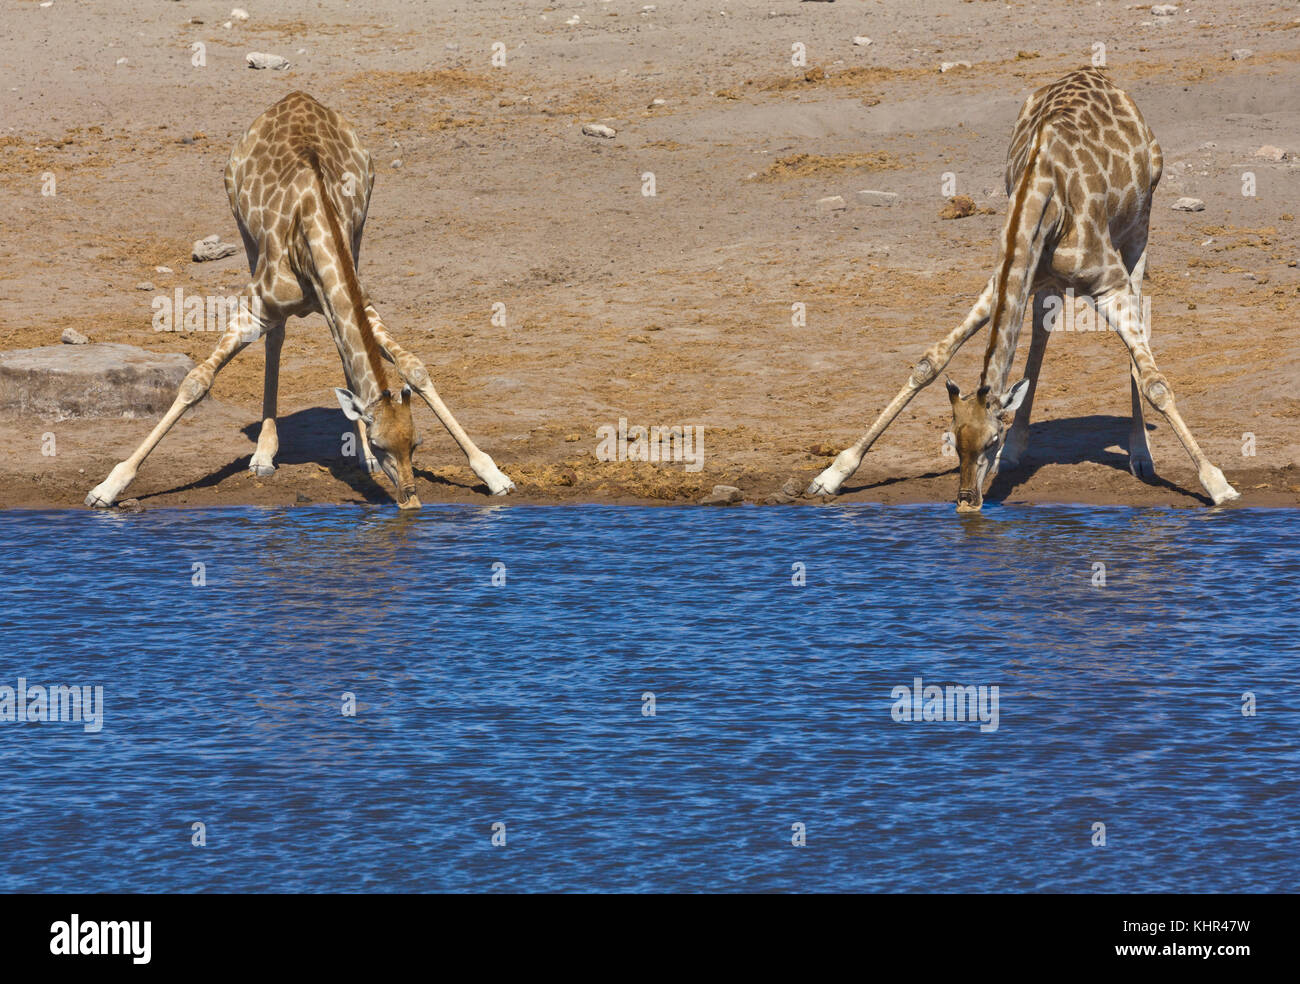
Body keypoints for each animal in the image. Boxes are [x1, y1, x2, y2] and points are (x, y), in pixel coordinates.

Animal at [86, 91, 514, 510]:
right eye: (383, 443)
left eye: (416, 443)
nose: (410, 504)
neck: (310, 234)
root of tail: (294, 96)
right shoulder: (254, 307)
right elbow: (196, 381)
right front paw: (108, 486)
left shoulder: (362, 299)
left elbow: (413, 367)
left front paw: (494, 475)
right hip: (245, 235)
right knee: (275, 338)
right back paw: (263, 455)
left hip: (360, 230)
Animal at [806, 68, 1239, 512]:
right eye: (953, 441)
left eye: (989, 441)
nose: (967, 501)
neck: (1045, 198)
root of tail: (1100, 75)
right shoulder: (1004, 278)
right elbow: (930, 362)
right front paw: (833, 473)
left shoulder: (1109, 284)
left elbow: (1155, 383)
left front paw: (1217, 484)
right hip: (1046, 279)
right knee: (1041, 334)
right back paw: (1020, 449)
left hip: (1138, 231)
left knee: (1137, 344)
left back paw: (1141, 456)